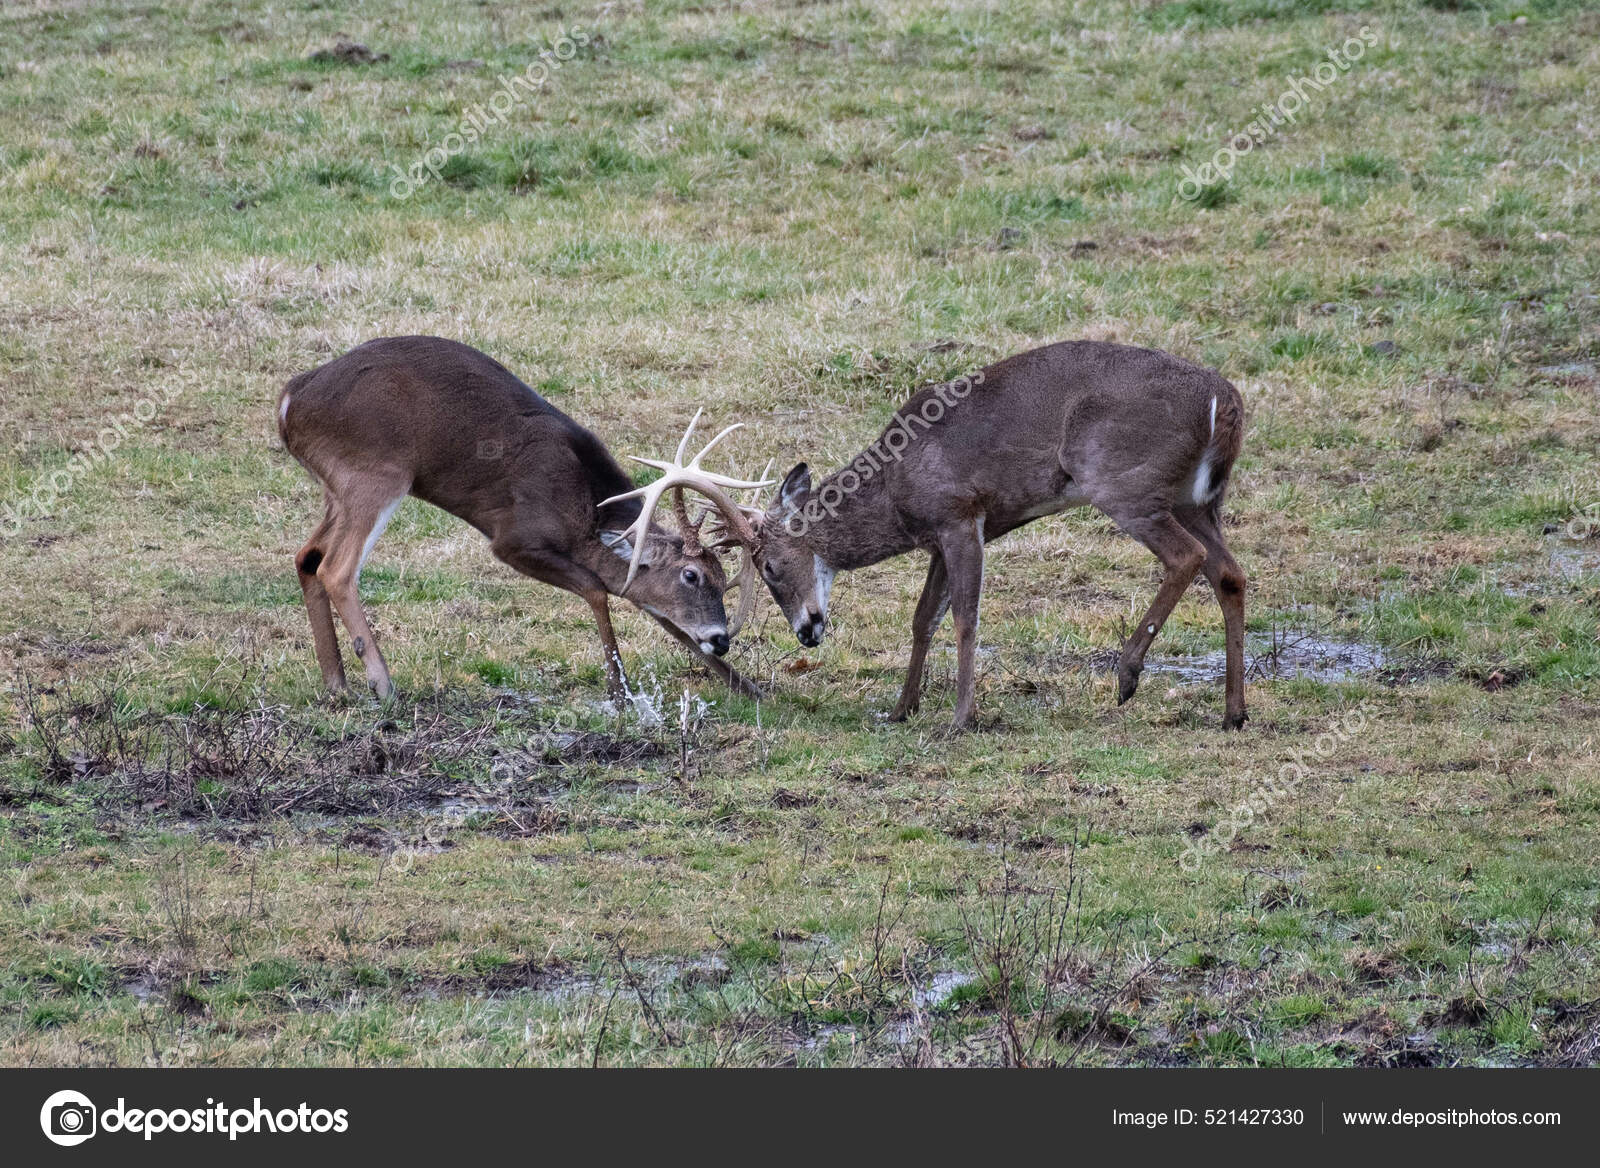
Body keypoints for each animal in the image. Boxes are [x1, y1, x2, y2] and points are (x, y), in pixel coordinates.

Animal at [275, 335, 772, 703]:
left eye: (721, 576)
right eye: (691, 575)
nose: (722, 638)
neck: (582, 505)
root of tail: (289, 399)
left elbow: (657, 612)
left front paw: (751, 690)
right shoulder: (515, 537)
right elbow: (597, 588)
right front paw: (622, 693)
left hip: (338, 486)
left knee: (307, 555)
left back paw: (336, 683)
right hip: (376, 472)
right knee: (336, 567)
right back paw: (382, 684)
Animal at [743, 340, 1248, 731]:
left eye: (768, 566)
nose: (805, 632)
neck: (894, 487)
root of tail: (1224, 400)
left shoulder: (960, 516)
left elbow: (965, 617)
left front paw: (960, 718)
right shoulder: (938, 539)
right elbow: (923, 619)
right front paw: (902, 709)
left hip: (1124, 481)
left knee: (1187, 556)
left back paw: (1128, 675)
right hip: (1194, 500)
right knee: (1229, 573)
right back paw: (1234, 713)